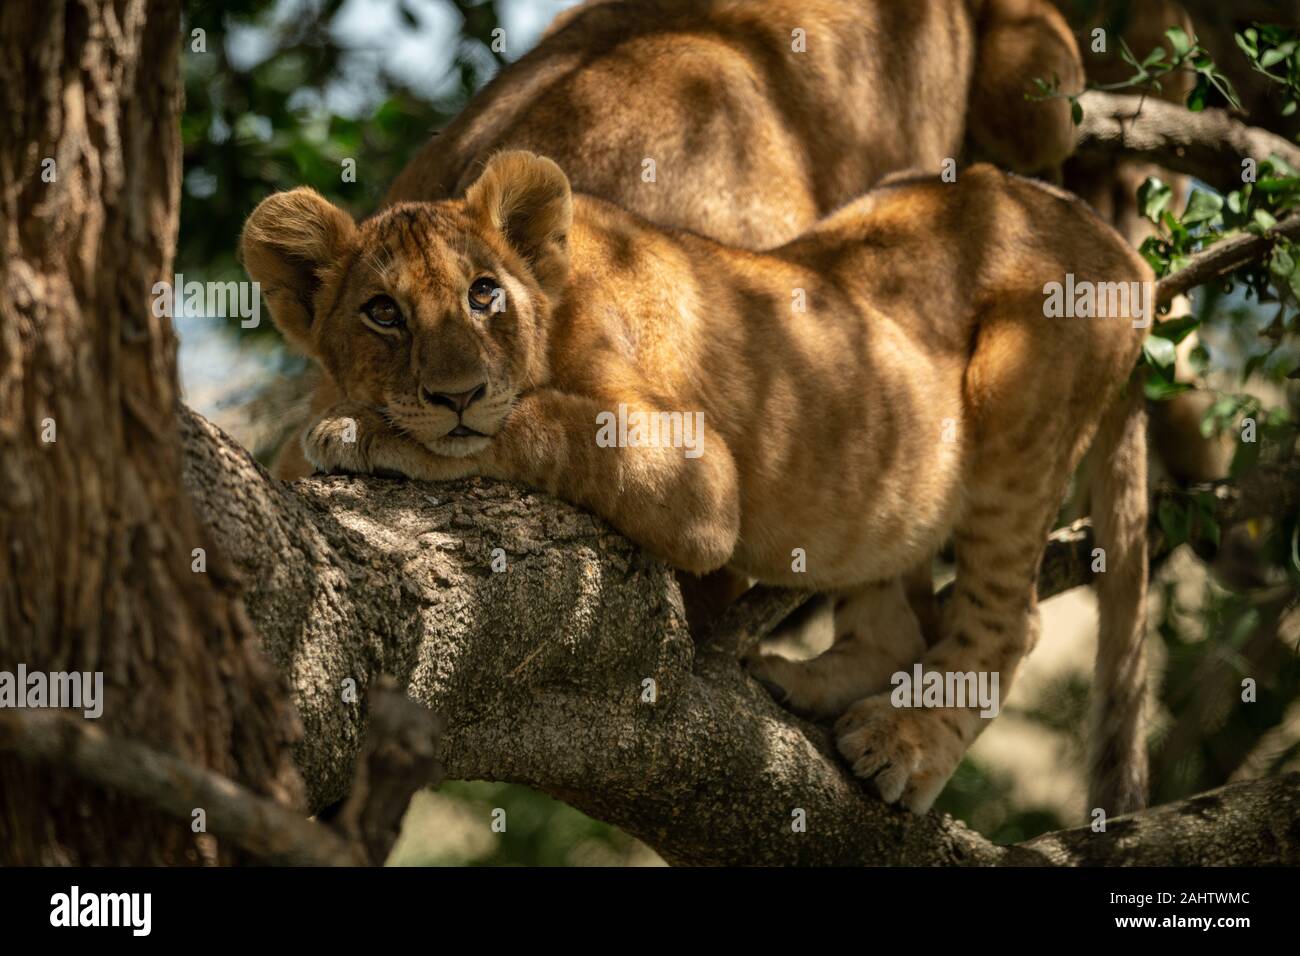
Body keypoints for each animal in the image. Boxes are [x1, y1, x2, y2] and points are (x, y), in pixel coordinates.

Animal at [241, 150, 1151, 815]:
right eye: (382, 313)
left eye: (482, 294)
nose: (456, 393)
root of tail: (1122, 248)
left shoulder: (697, 475)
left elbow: (529, 423)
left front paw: (367, 433)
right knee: (898, 619)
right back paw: (804, 684)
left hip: (1019, 398)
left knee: (1011, 623)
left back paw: (905, 744)